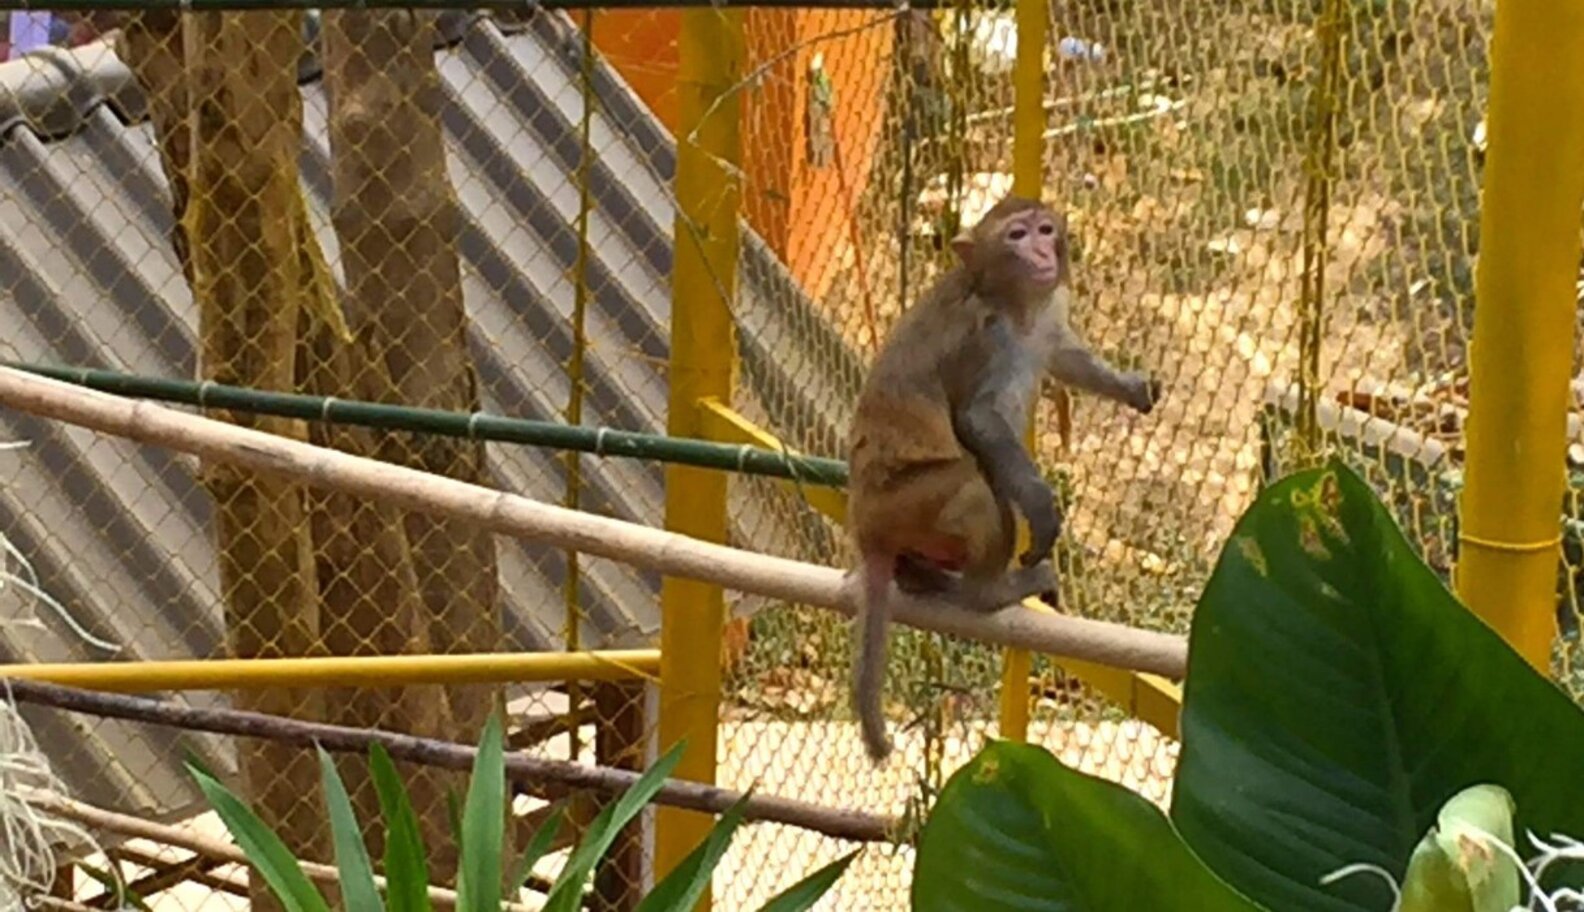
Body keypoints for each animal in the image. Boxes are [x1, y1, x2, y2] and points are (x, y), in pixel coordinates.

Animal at [845, 193, 1160, 763]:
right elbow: (981, 419)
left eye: (1043, 228)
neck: (1016, 304)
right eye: (1016, 235)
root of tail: (864, 524)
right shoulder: (989, 338)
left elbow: (1066, 355)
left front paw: (1131, 386)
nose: (1041, 251)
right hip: (902, 502)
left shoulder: (1049, 312)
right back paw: (987, 593)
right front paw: (1041, 505)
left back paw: (923, 577)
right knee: (975, 485)